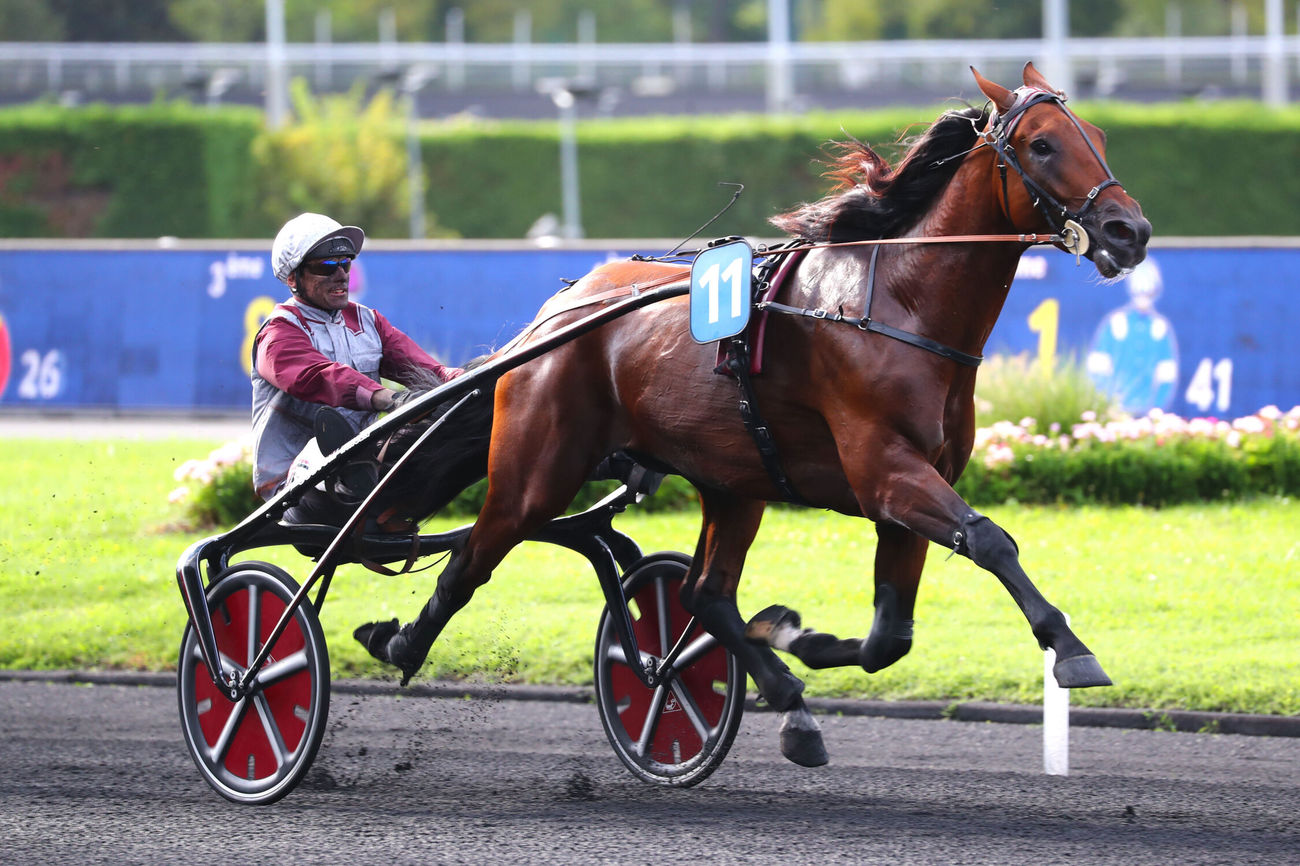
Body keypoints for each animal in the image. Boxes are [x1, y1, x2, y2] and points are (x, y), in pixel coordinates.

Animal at [354, 63, 1150, 767]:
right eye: (1042, 143)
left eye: (1100, 136)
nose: (1129, 230)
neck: (897, 305)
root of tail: (559, 310)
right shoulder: (887, 472)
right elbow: (990, 541)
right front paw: (1072, 649)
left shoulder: (906, 492)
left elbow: (889, 636)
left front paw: (795, 636)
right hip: (536, 470)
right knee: (472, 557)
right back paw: (397, 642)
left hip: (733, 480)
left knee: (704, 595)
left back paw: (785, 706)